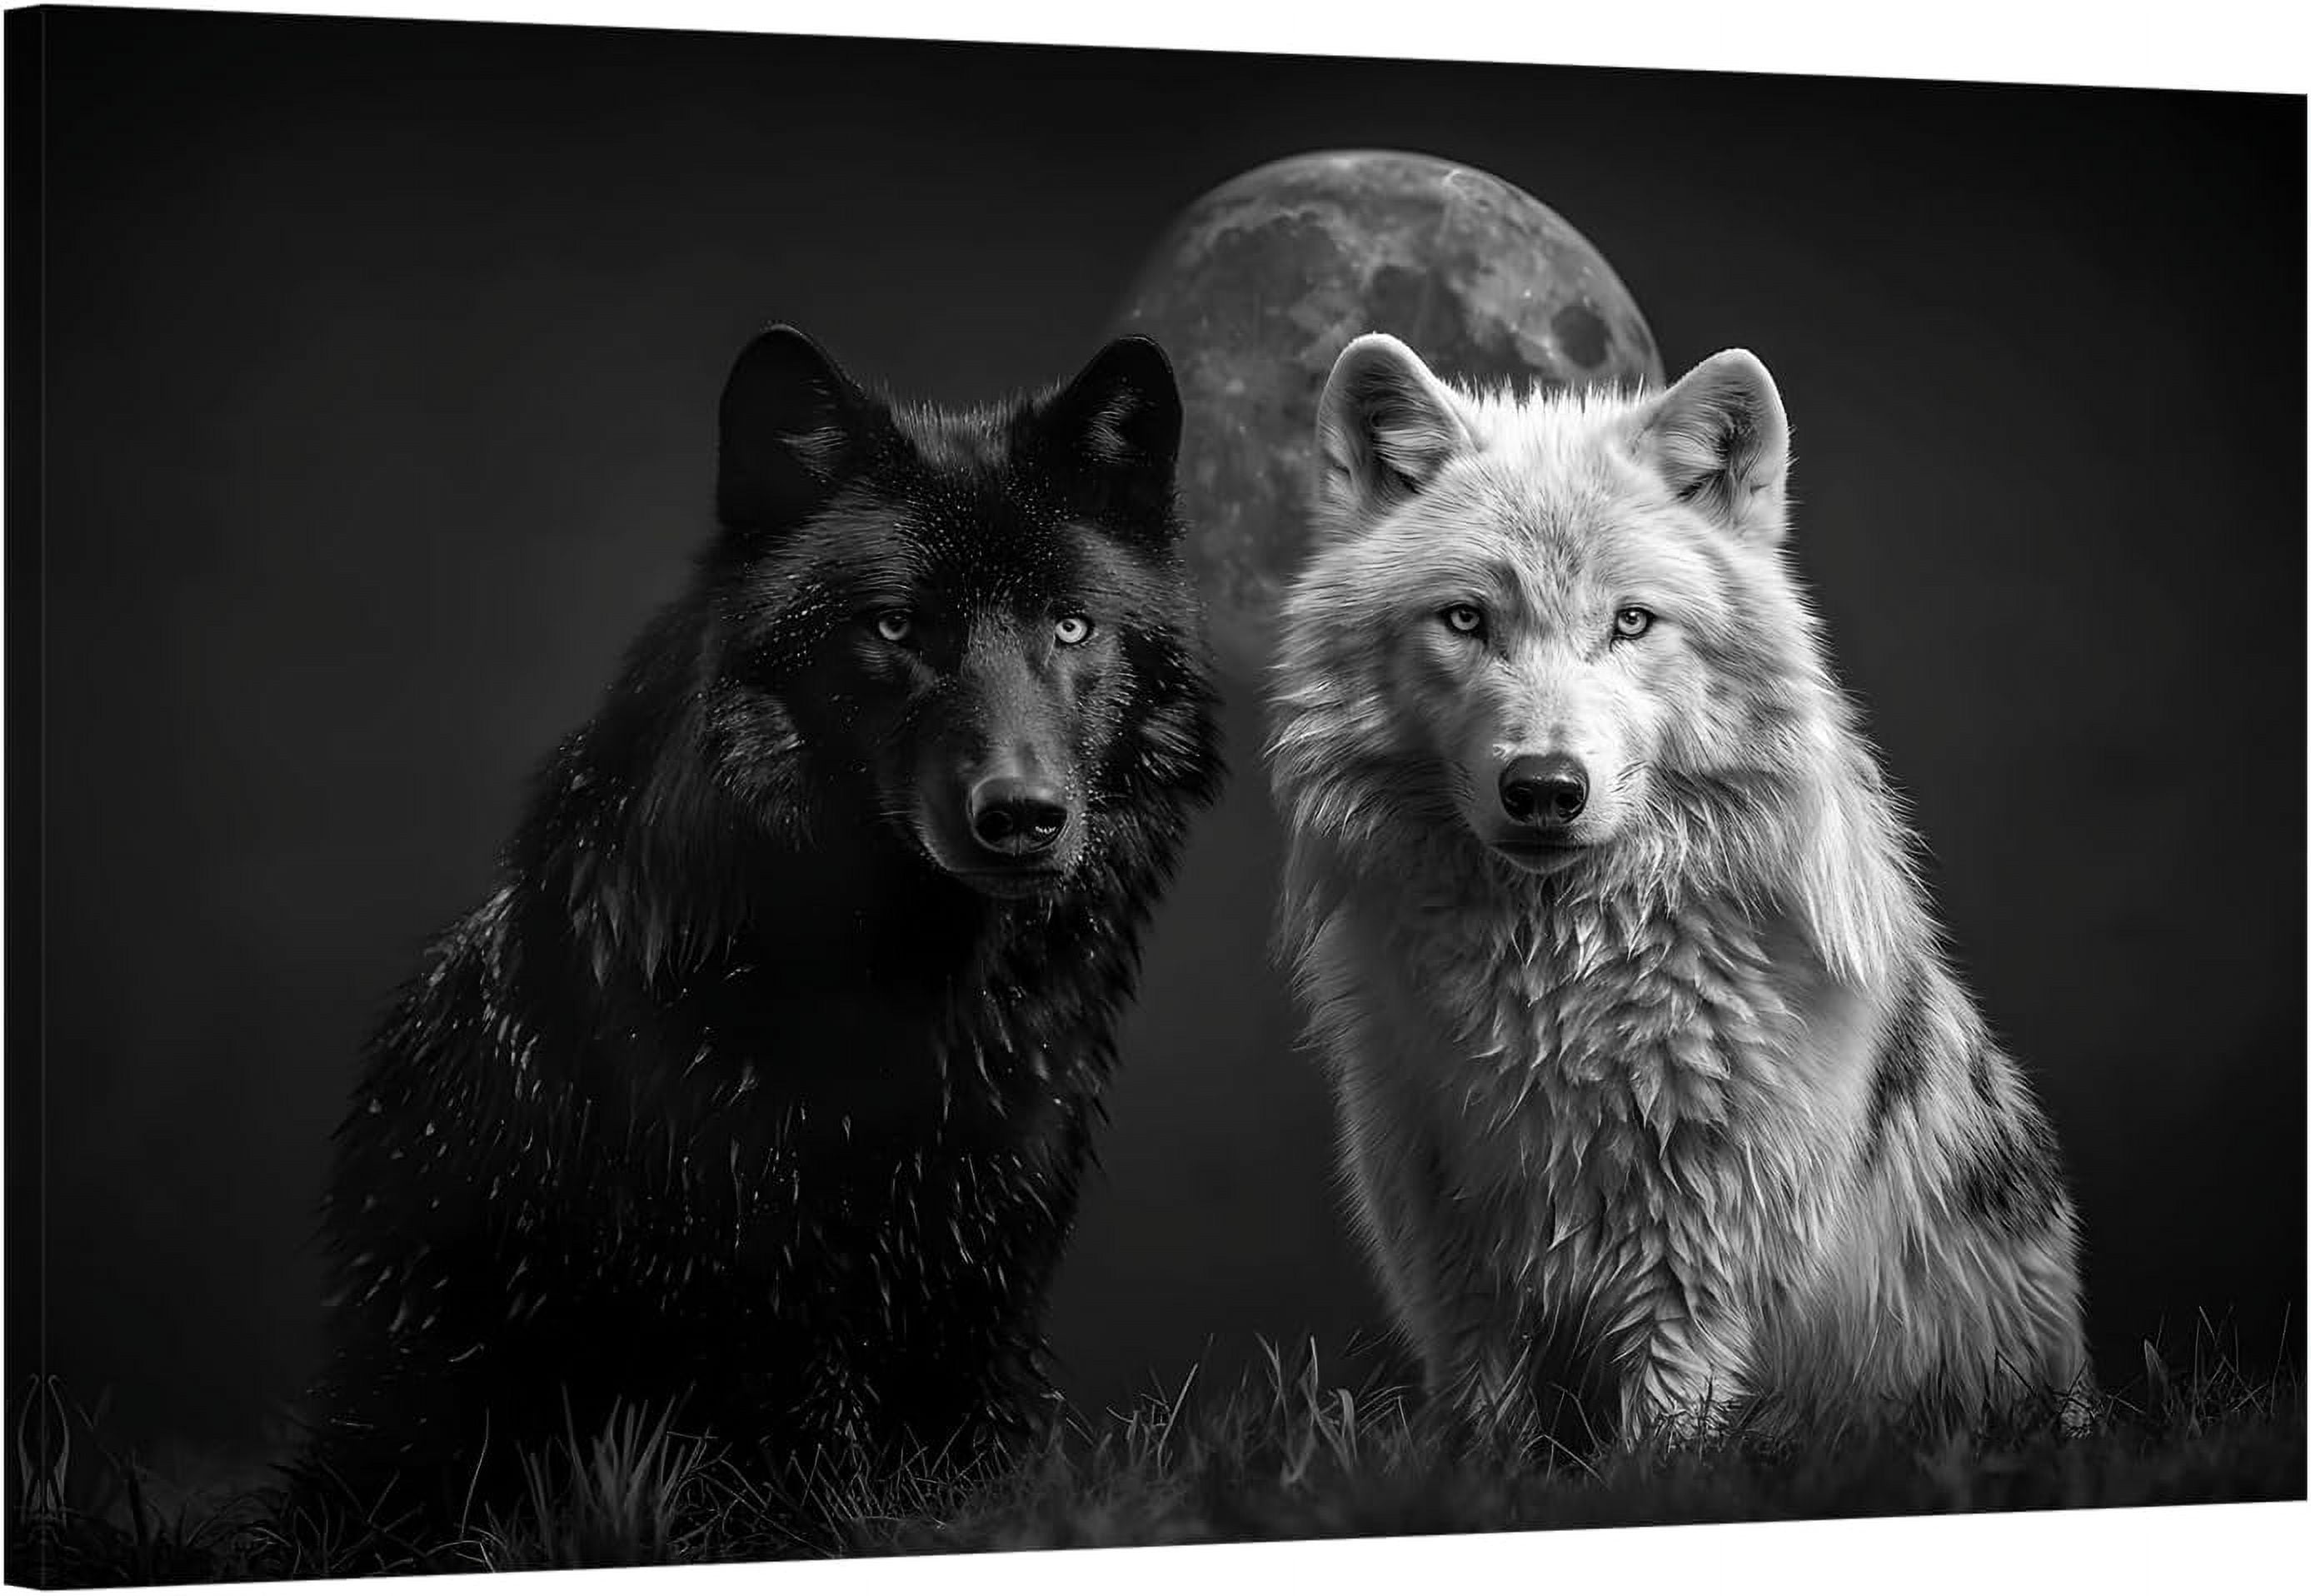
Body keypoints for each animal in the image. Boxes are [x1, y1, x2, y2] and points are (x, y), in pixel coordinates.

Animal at [304, 325, 1222, 1525]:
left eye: (1071, 626)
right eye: (895, 626)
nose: (1022, 814)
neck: (918, 993)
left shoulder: (992, 1253)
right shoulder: (761, 1276)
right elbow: (817, 1484)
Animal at [1267, 333, 2086, 1447]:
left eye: (1630, 623)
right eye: (1466, 619)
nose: (1543, 786)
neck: (1558, 988)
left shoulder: (1696, 1258)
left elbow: (1664, 1427)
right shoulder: (1451, 1254)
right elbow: (1487, 1428)